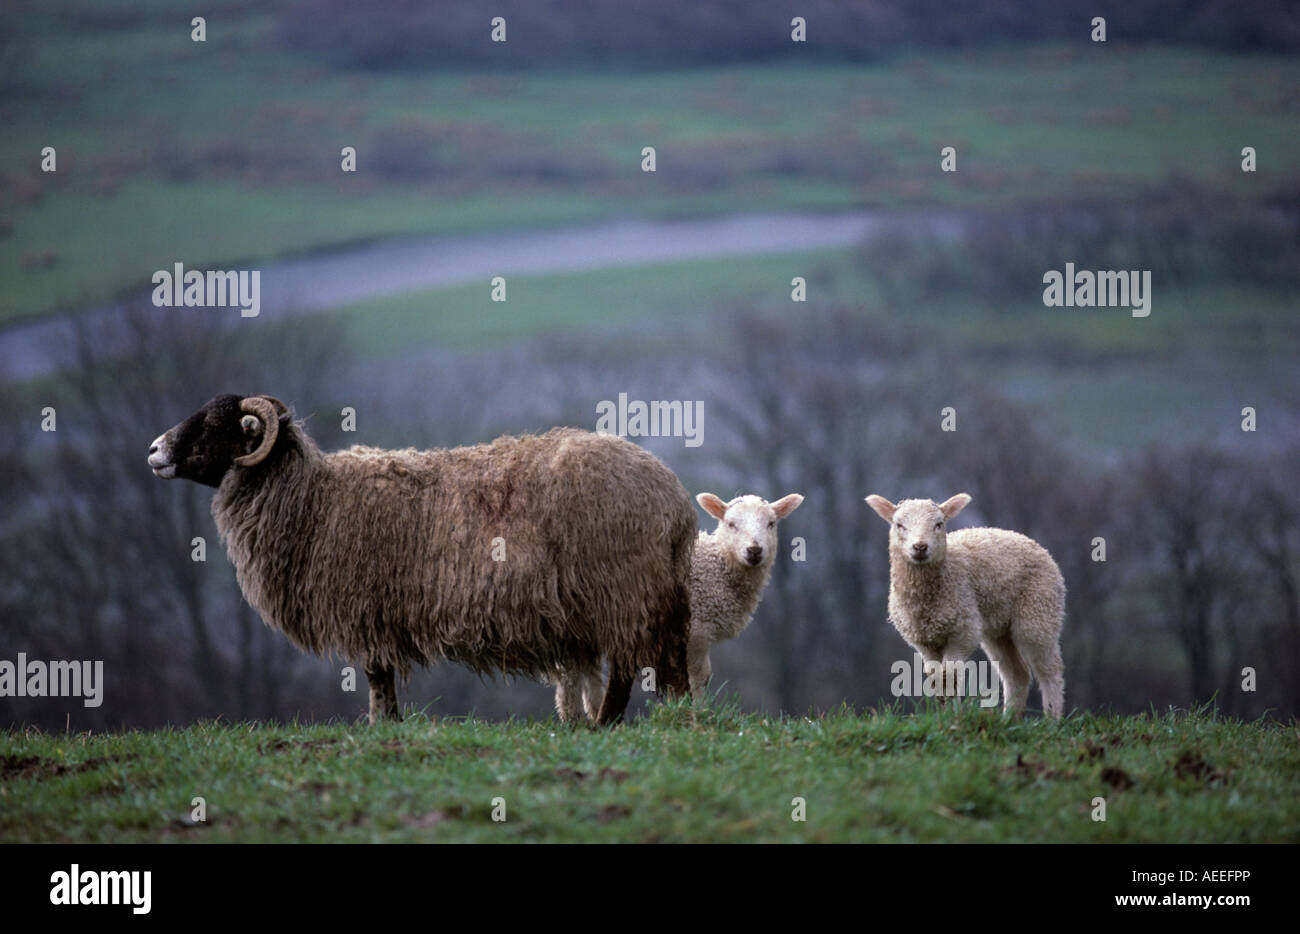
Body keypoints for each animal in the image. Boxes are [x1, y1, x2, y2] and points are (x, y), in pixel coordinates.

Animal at [147, 394, 696, 725]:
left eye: (212, 425)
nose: (153, 450)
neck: (315, 499)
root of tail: (673, 497)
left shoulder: (365, 609)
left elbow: (376, 675)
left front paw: (382, 726)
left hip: (622, 590)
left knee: (626, 668)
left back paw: (610, 724)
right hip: (645, 595)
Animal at [553, 491, 803, 720]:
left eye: (771, 523)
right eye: (731, 524)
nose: (754, 550)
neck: (718, 566)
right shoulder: (696, 628)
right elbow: (699, 674)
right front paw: (698, 712)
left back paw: (589, 717)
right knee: (571, 678)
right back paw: (576, 720)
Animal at [864, 493, 1065, 718]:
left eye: (939, 524)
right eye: (899, 525)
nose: (920, 547)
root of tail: (1035, 545)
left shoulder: (962, 632)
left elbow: (950, 675)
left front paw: (954, 717)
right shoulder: (923, 640)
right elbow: (936, 677)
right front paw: (944, 715)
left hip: (1039, 611)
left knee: (1050, 670)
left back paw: (1052, 719)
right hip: (998, 628)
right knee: (1017, 673)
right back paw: (1009, 720)